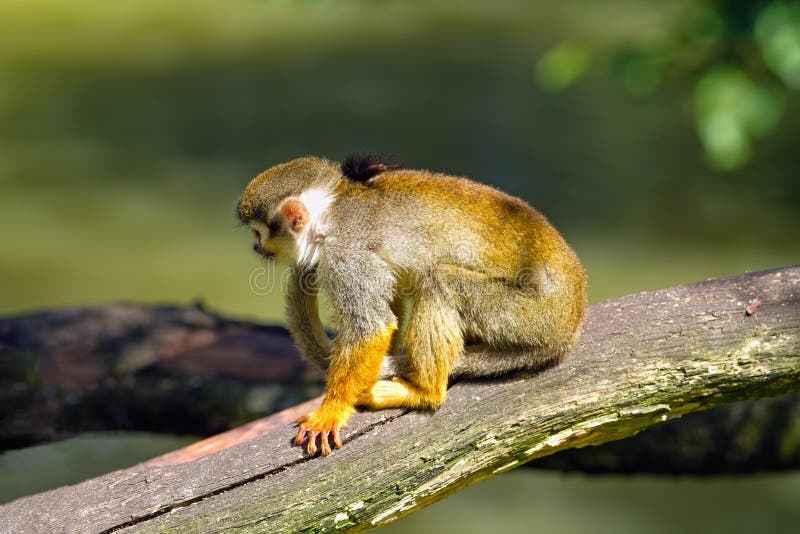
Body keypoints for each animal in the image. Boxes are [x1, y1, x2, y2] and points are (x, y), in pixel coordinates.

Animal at [237, 155, 587, 456]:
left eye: (258, 233)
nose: (254, 247)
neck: (331, 214)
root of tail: (571, 322)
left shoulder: (345, 252)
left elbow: (371, 326)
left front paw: (332, 409)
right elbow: (388, 304)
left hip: (528, 315)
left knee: (439, 281)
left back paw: (425, 392)